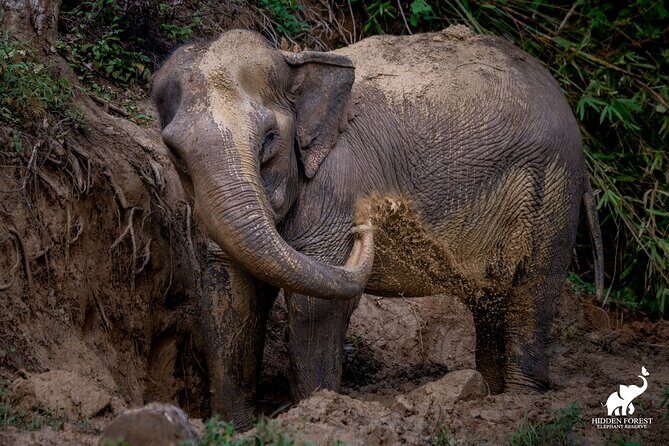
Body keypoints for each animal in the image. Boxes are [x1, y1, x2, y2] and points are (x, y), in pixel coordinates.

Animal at [151, 25, 604, 424]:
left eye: (268, 139)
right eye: (175, 152)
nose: (367, 225)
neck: (294, 59)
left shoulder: (336, 189)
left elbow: (314, 304)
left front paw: (315, 410)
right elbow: (228, 292)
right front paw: (237, 427)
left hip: (554, 192)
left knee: (532, 292)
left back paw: (521, 402)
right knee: (492, 300)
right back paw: (489, 395)